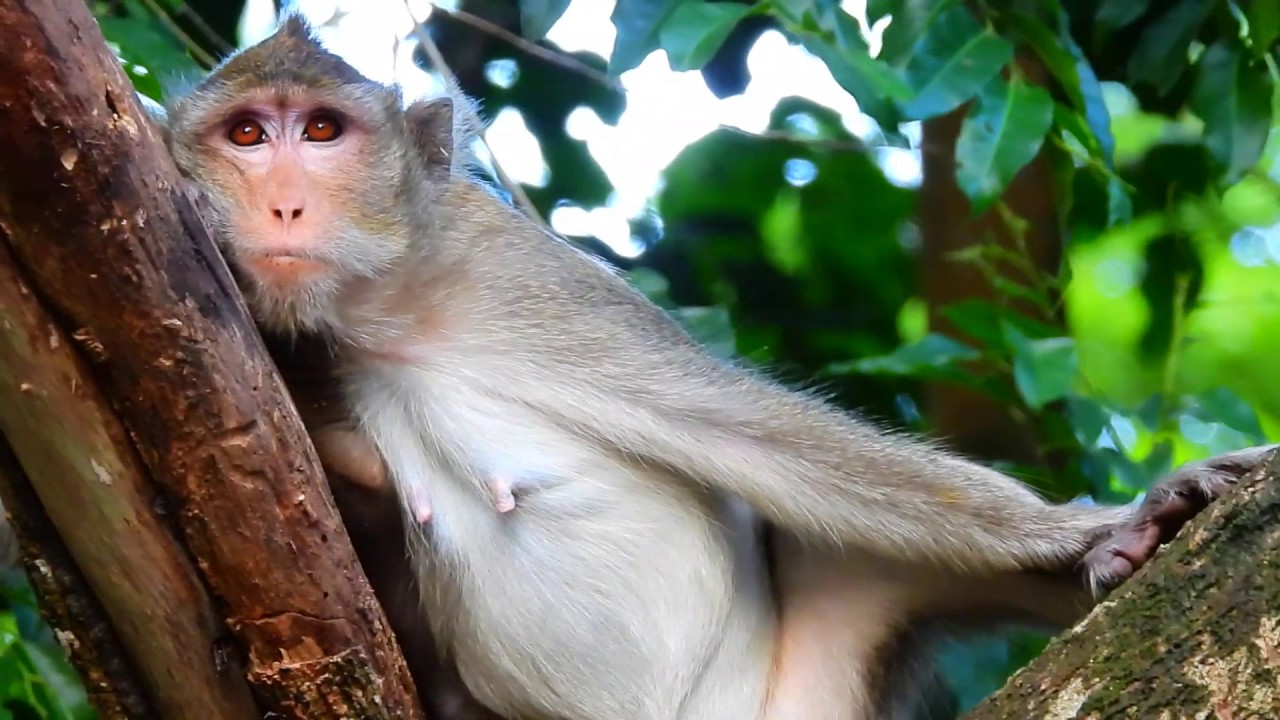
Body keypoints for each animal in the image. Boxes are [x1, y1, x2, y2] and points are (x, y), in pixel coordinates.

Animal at [157, 16, 1277, 720]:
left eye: (323, 131)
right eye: (247, 134)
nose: (283, 204)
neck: (381, 311)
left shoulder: (522, 283)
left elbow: (754, 433)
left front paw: (1091, 526)